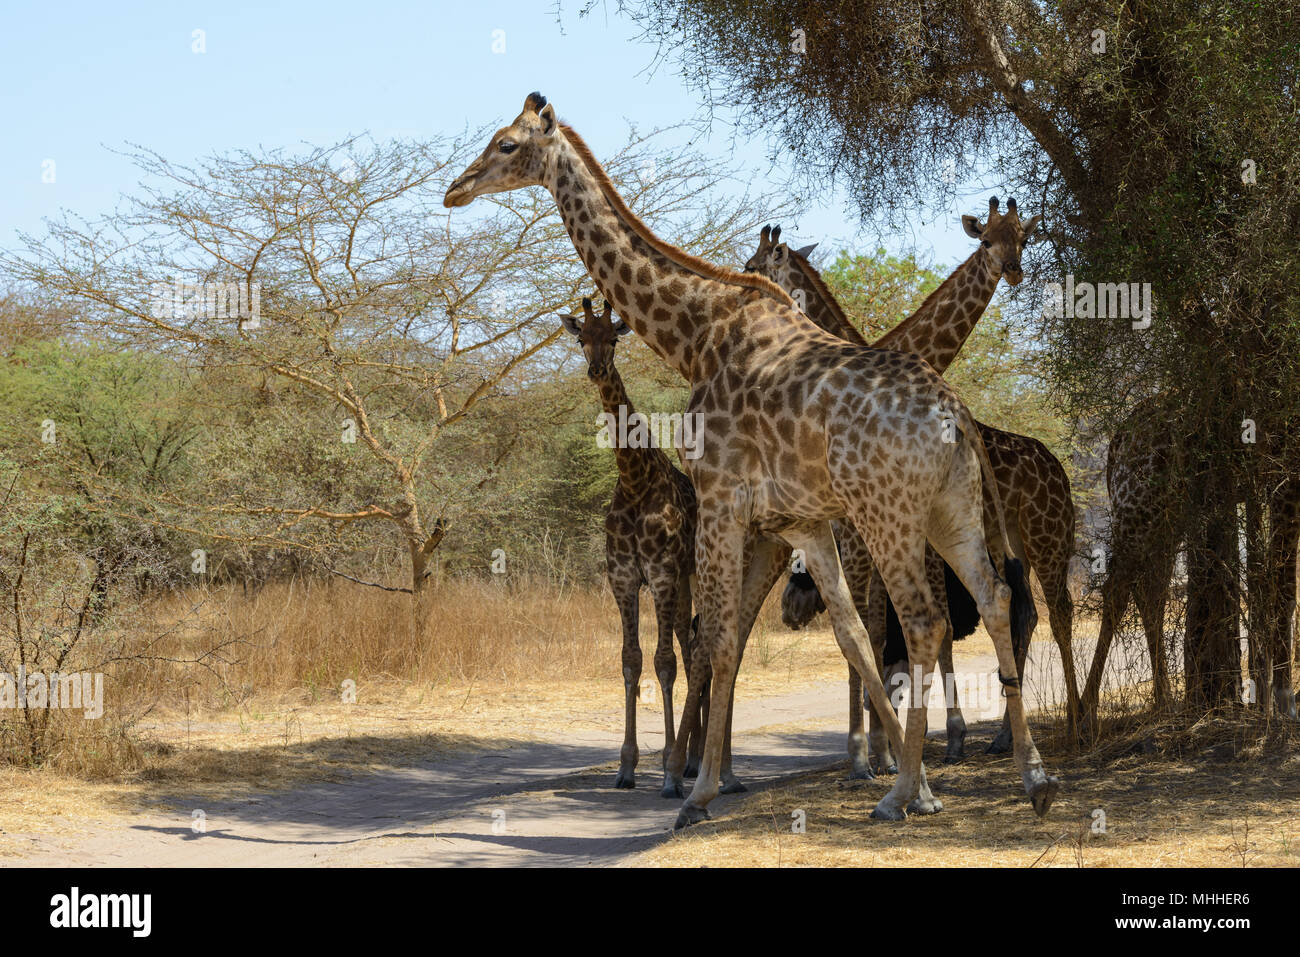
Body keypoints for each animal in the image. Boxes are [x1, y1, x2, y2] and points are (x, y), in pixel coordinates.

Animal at [558, 296, 703, 791]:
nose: (597, 369)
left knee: (699, 648)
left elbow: (662, 663)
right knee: (692, 643)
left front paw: (668, 775)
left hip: (693, 575)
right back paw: (694, 758)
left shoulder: (659, 575)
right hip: (684, 581)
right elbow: (631, 660)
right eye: (582, 338)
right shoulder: (622, 579)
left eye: (615, 338)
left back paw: (694, 762)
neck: (635, 481)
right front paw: (626, 766)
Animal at [747, 205, 1081, 767]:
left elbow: (904, 625)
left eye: (1023, 238)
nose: (1013, 270)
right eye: (986, 239)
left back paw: (1079, 720)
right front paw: (884, 748)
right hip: (1017, 539)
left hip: (1045, 536)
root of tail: (1060, 471)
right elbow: (882, 627)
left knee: (1055, 612)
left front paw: (903, 746)